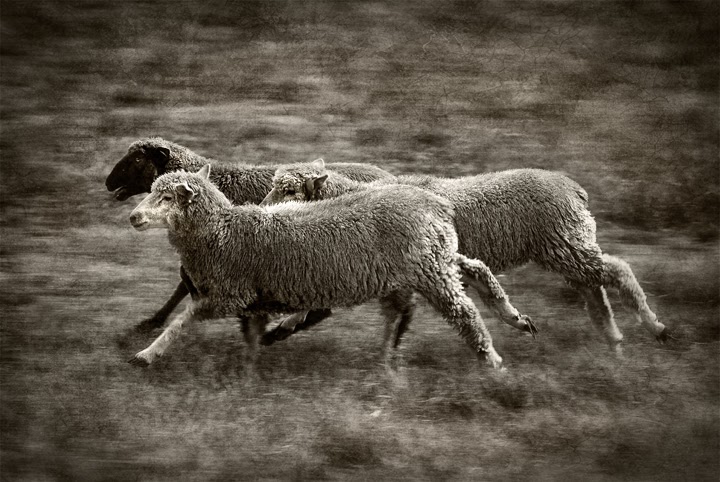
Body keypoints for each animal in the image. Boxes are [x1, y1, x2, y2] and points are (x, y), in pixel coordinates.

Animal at [105, 137, 396, 332]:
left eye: (139, 159)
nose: (108, 183)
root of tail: (388, 175)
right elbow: (184, 281)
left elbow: (183, 281)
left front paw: (154, 321)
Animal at [127, 164, 505, 371]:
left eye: (166, 198)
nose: (133, 217)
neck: (223, 231)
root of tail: (435, 202)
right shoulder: (252, 301)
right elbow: (250, 339)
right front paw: (248, 373)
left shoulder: (230, 294)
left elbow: (181, 321)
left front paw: (146, 354)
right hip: (431, 259)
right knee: (471, 269)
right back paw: (507, 313)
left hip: (428, 270)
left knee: (464, 313)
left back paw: (491, 361)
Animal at [261, 159, 668, 352]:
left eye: (291, 190)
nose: (261, 209)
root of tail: (573, 187)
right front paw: (281, 328)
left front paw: (280, 327)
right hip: (566, 247)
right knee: (594, 287)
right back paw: (614, 340)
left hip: (566, 243)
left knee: (617, 271)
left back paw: (654, 326)